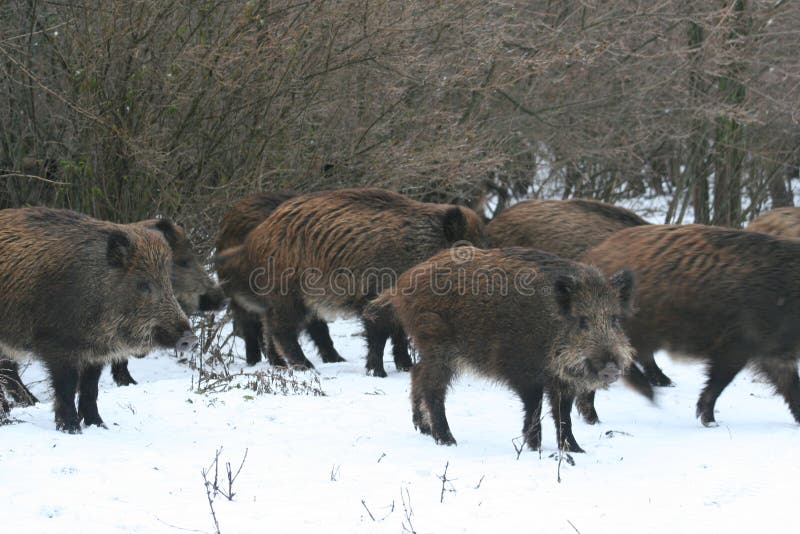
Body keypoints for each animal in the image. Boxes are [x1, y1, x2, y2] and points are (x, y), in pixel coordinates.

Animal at [0, 207, 193, 433]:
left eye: (168, 283)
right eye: (143, 285)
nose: (190, 338)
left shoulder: (96, 354)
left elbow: (90, 389)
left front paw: (99, 426)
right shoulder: (57, 346)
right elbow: (66, 388)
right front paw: (72, 429)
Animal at [366, 246, 640, 452]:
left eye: (614, 320)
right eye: (582, 321)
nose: (611, 368)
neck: (549, 328)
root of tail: (402, 283)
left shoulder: (562, 382)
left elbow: (563, 416)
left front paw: (575, 450)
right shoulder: (524, 371)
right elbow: (534, 408)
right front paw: (535, 448)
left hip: (432, 349)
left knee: (417, 373)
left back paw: (423, 429)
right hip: (438, 346)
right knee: (433, 388)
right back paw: (447, 440)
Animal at [580, 224, 800, 427]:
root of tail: (593, 255)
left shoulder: (774, 354)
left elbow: (791, 386)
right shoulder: (736, 346)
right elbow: (719, 382)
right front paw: (710, 422)